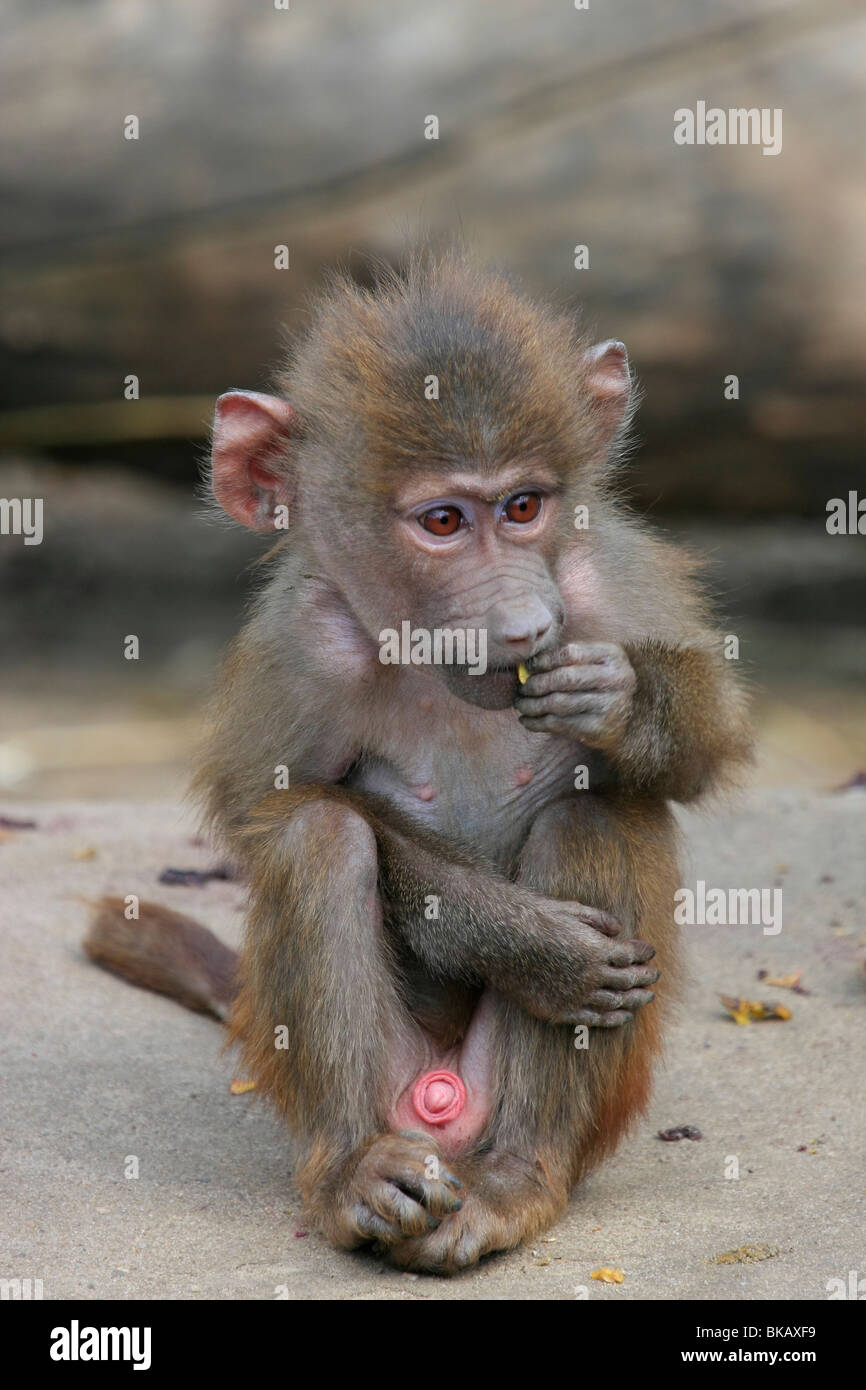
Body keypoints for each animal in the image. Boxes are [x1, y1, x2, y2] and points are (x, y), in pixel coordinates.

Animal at [85, 252, 751, 1274]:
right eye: (442, 521)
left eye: (524, 507)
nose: (524, 627)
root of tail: (442, 1114)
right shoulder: (305, 643)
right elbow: (269, 813)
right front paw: (533, 949)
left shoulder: (604, 575)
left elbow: (708, 746)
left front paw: (617, 700)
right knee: (320, 842)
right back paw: (357, 1175)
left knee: (595, 812)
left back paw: (516, 1177)